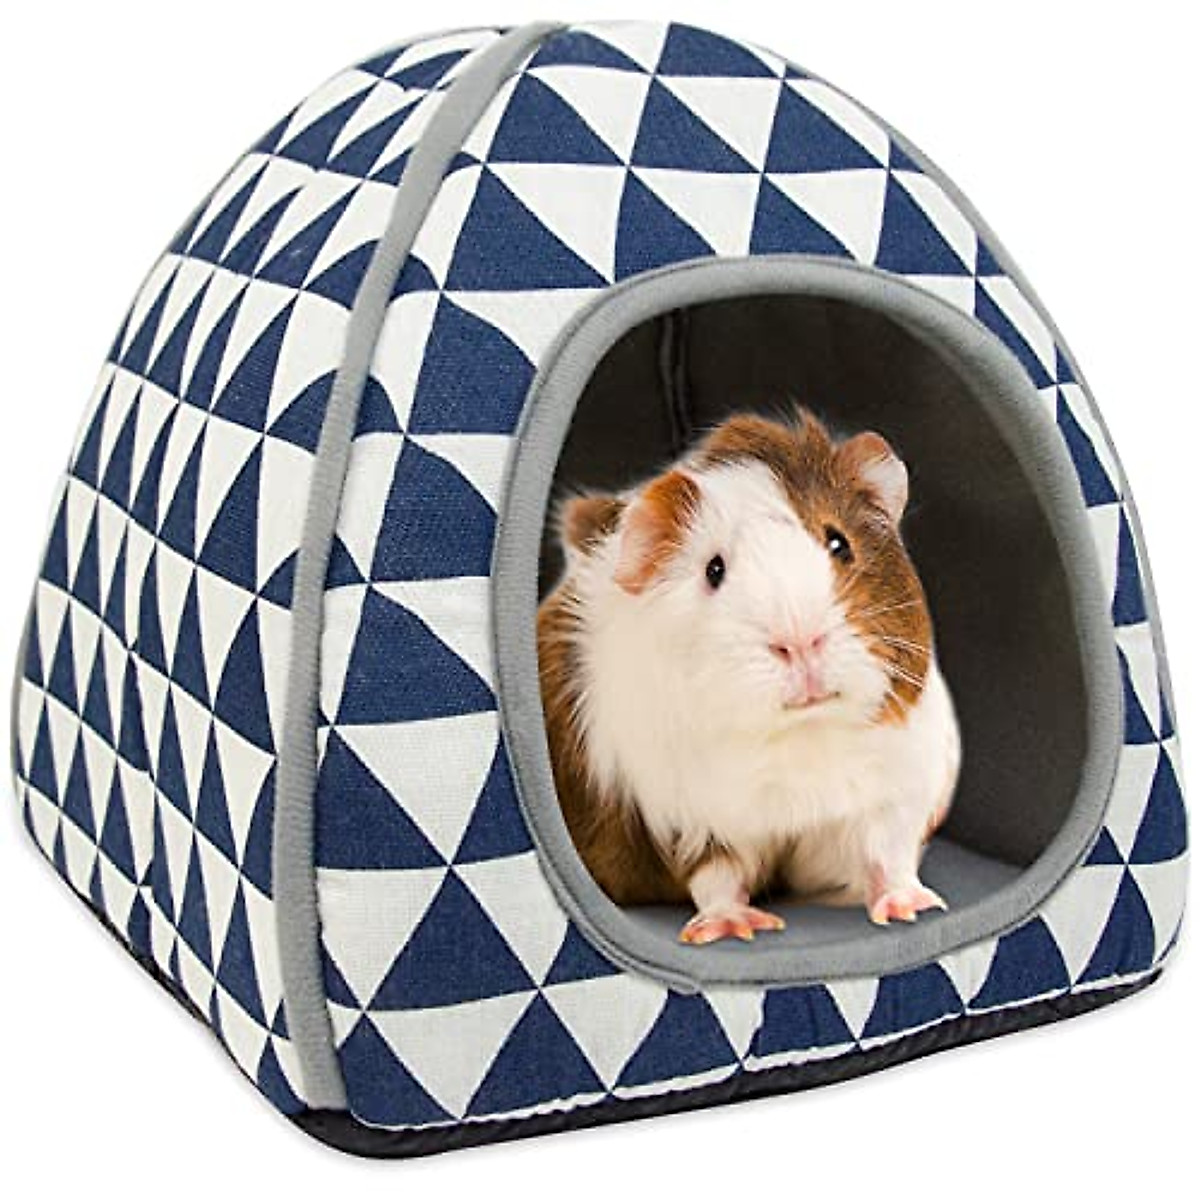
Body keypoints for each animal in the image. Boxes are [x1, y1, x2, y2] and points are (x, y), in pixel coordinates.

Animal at [538, 408, 960, 946]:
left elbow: (887, 854)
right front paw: (735, 928)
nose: (799, 641)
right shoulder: (695, 822)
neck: (801, 733)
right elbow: (718, 874)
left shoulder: (893, 793)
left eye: (838, 542)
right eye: (714, 570)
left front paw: (914, 908)